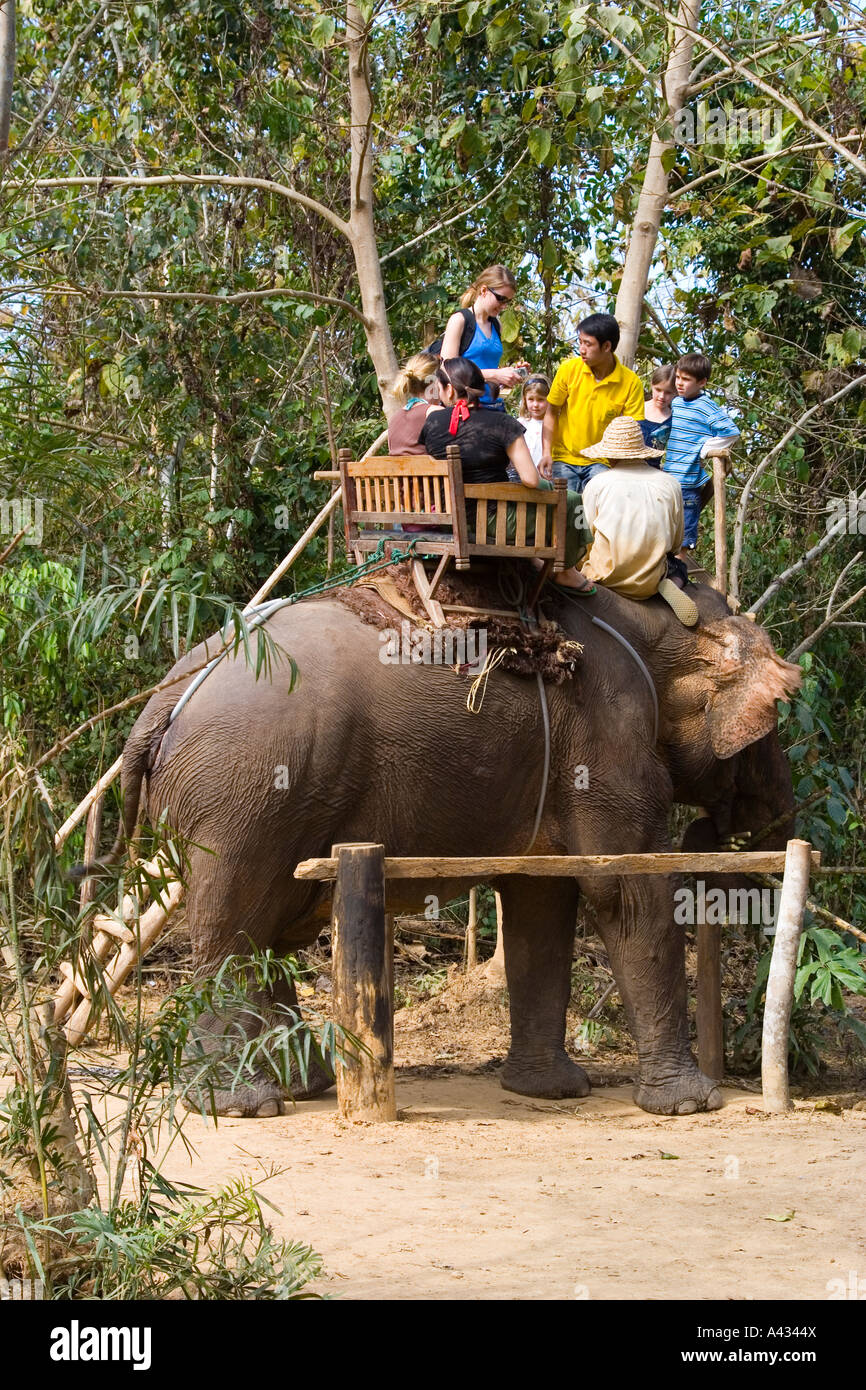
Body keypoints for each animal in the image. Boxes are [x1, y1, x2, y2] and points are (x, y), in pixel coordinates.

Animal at [85, 575, 801, 1118]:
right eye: (777, 720)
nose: (748, 828)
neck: (651, 621)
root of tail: (164, 698)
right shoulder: (609, 739)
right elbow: (625, 890)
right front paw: (691, 1104)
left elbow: (541, 902)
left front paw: (549, 1091)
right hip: (248, 790)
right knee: (234, 923)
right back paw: (244, 1104)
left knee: (268, 927)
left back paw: (302, 1084)